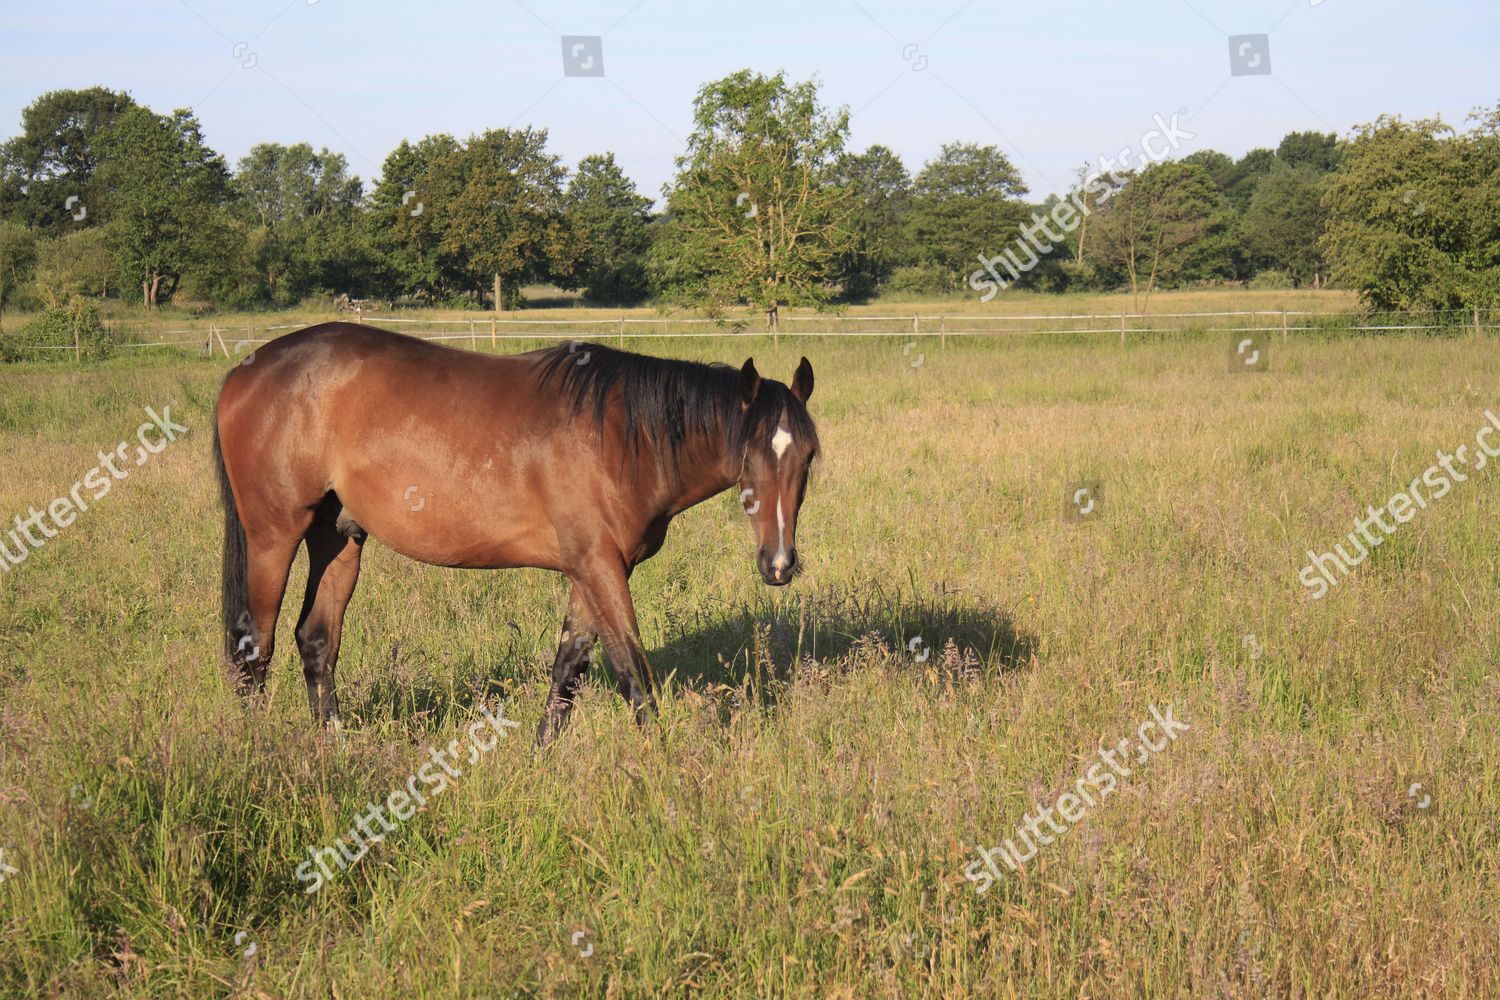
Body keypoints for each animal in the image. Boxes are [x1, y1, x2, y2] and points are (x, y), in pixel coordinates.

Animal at [212, 322, 818, 745]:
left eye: (808, 455)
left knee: (317, 641)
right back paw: (258, 751)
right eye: (749, 453)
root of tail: (246, 369)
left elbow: (567, 671)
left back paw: (335, 748)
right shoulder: (600, 567)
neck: (624, 436)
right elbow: (634, 677)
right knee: (254, 648)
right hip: (273, 536)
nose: (779, 563)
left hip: (338, 537)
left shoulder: (592, 569)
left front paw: (540, 757)